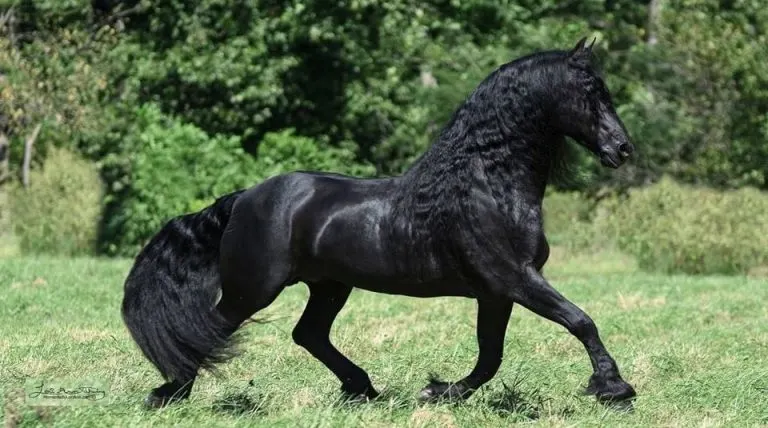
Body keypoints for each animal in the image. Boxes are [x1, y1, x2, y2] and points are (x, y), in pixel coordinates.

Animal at [121, 38, 637, 409]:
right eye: (591, 92)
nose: (623, 149)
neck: (485, 183)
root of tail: (244, 197)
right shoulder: (515, 279)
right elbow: (579, 320)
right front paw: (614, 388)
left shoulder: (497, 292)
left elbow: (490, 357)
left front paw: (439, 391)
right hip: (254, 288)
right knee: (210, 329)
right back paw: (168, 394)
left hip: (329, 286)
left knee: (308, 334)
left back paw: (362, 389)